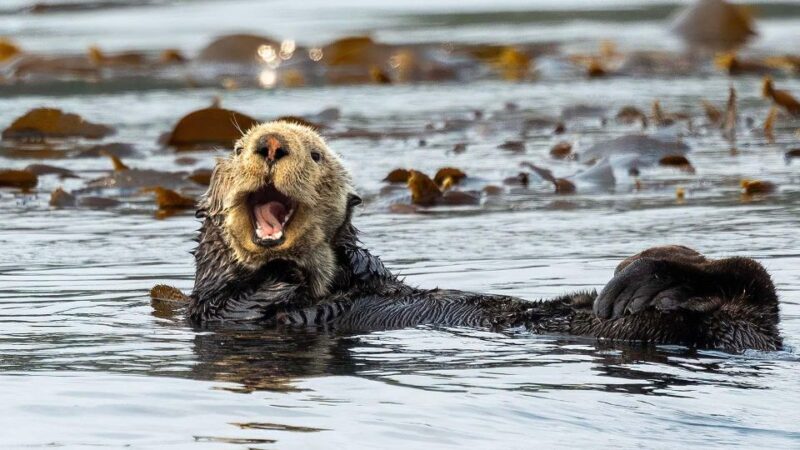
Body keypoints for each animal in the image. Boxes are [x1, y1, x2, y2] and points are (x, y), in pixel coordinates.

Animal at [185, 121, 782, 352]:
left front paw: (344, 256)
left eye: (314, 154)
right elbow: (232, 300)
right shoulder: (215, 310)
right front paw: (284, 268)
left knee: (749, 279)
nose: (270, 145)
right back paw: (650, 288)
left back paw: (641, 280)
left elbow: (364, 265)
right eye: (238, 149)